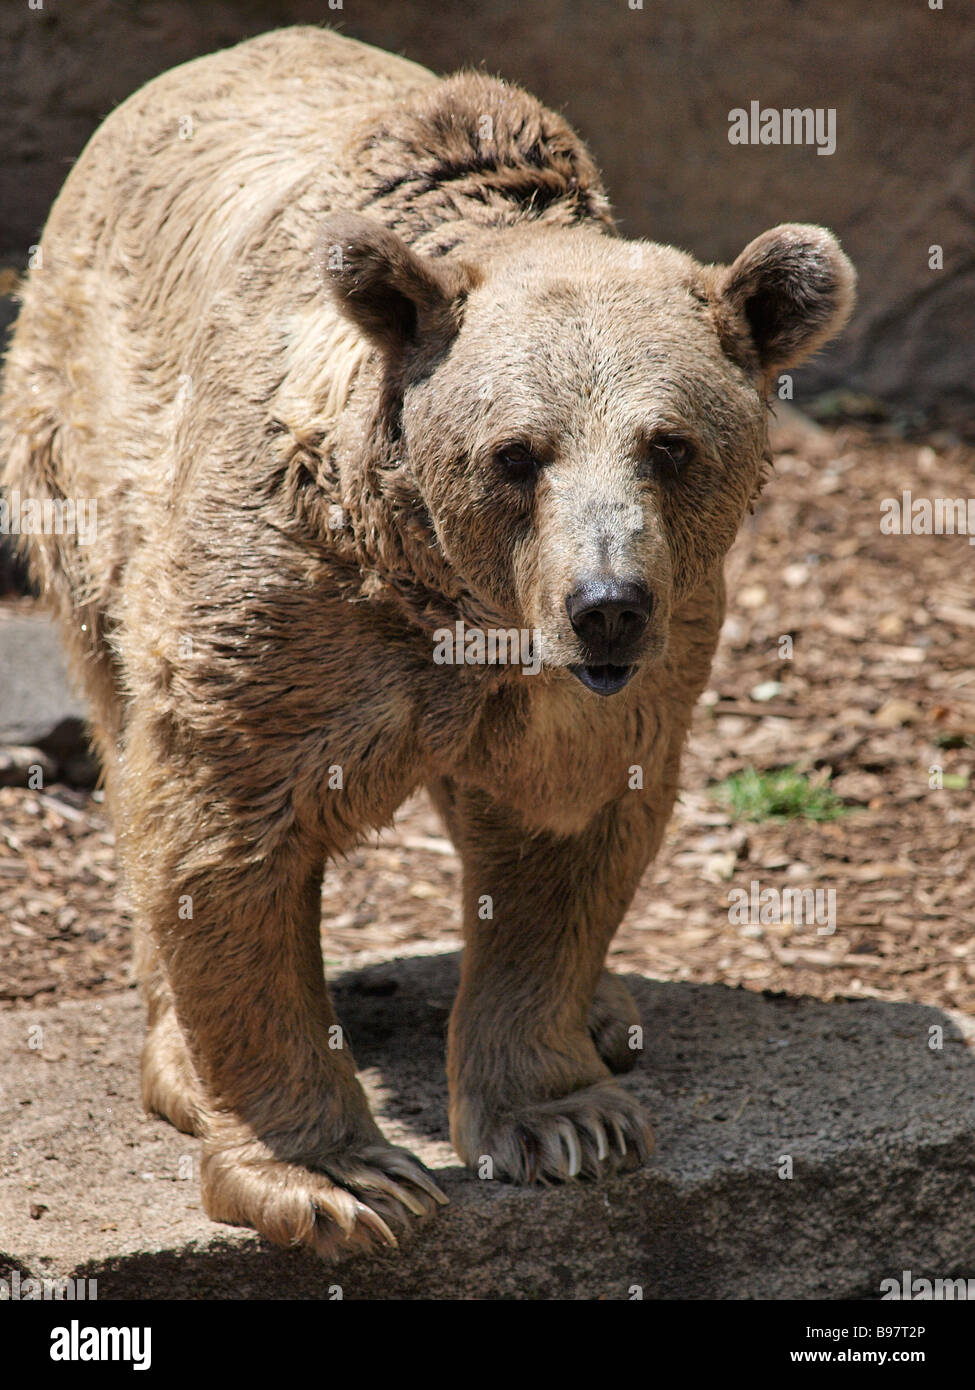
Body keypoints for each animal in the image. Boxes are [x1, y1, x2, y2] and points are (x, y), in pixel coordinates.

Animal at [0, 26, 855, 1257]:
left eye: (670, 445)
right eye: (517, 452)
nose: (607, 601)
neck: (455, 600)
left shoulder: (606, 674)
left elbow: (566, 826)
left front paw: (566, 1117)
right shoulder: (282, 607)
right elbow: (221, 833)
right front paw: (338, 1176)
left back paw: (610, 1014)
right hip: (79, 460)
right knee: (121, 723)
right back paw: (177, 1060)